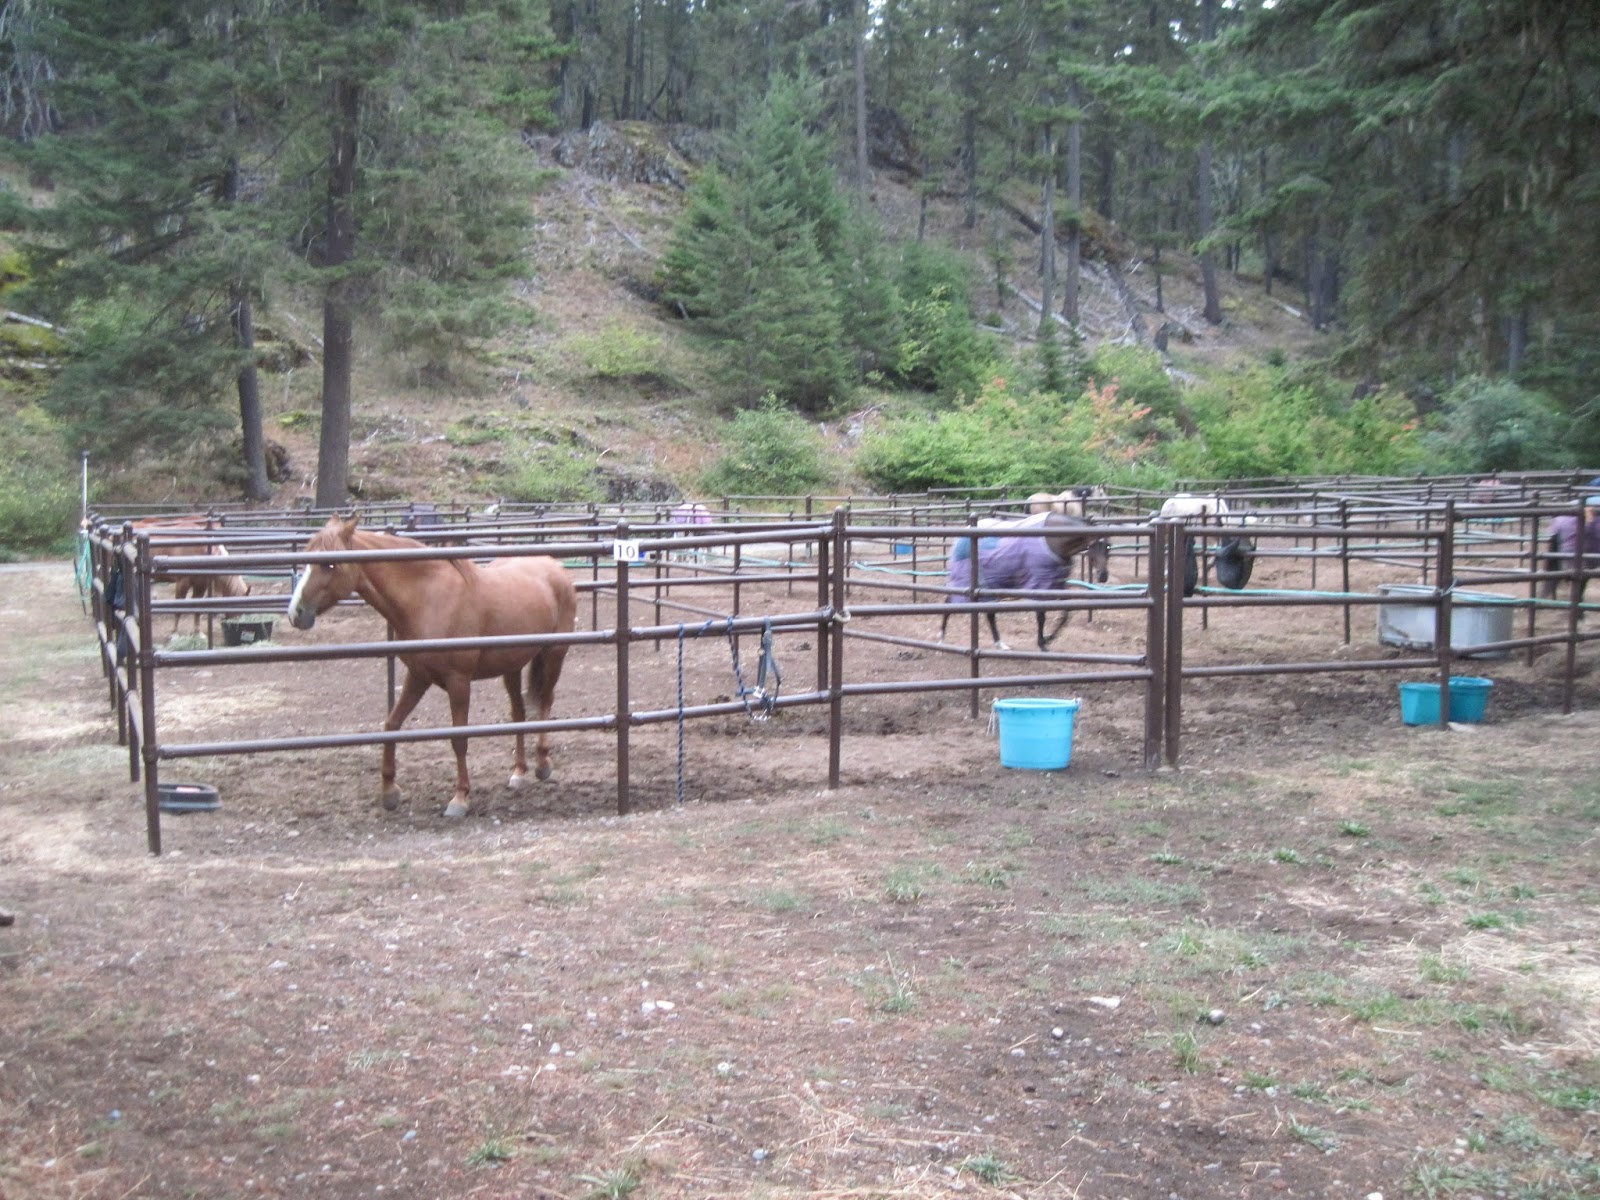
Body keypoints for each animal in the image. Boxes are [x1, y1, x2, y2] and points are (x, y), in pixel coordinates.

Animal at [286, 514, 578, 819]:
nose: (295, 613)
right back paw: (519, 773)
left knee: (545, 703)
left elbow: (458, 739)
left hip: (554, 656)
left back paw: (542, 765)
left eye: (329, 564)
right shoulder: (417, 676)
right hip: (512, 666)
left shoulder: (458, 681)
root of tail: (554, 567)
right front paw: (389, 792)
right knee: (519, 712)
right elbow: (391, 724)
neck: (427, 598)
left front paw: (460, 798)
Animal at [937, 512, 1111, 650]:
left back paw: (1000, 644)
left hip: (990, 586)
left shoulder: (1058, 584)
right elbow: (1041, 616)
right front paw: (1042, 643)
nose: (1103, 575)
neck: (1053, 539)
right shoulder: (1040, 585)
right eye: (1092, 545)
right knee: (949, 603)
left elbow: (1065, 615)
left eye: (1108, 546)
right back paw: (941, 638)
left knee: (990, 614)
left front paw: (1048, 638)